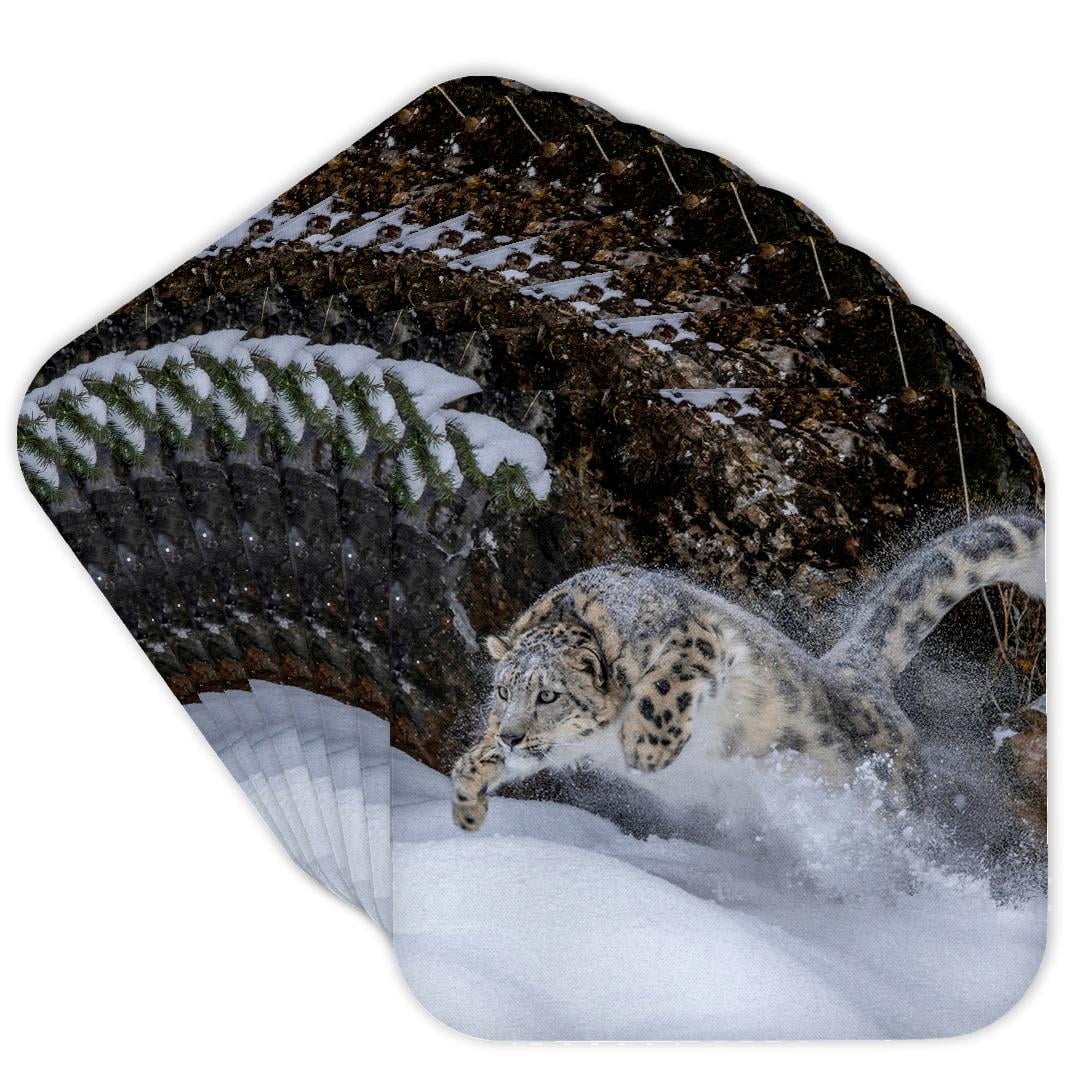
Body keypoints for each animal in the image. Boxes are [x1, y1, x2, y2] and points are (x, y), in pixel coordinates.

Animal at [451, 513, 1044, 830]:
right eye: (502, 691)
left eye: (548, 695)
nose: (511, 736)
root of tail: (854, 672)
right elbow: (472, 762)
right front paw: (466, 805)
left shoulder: (692, 638)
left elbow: (662, 686)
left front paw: (646, 750)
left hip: (893, 794)